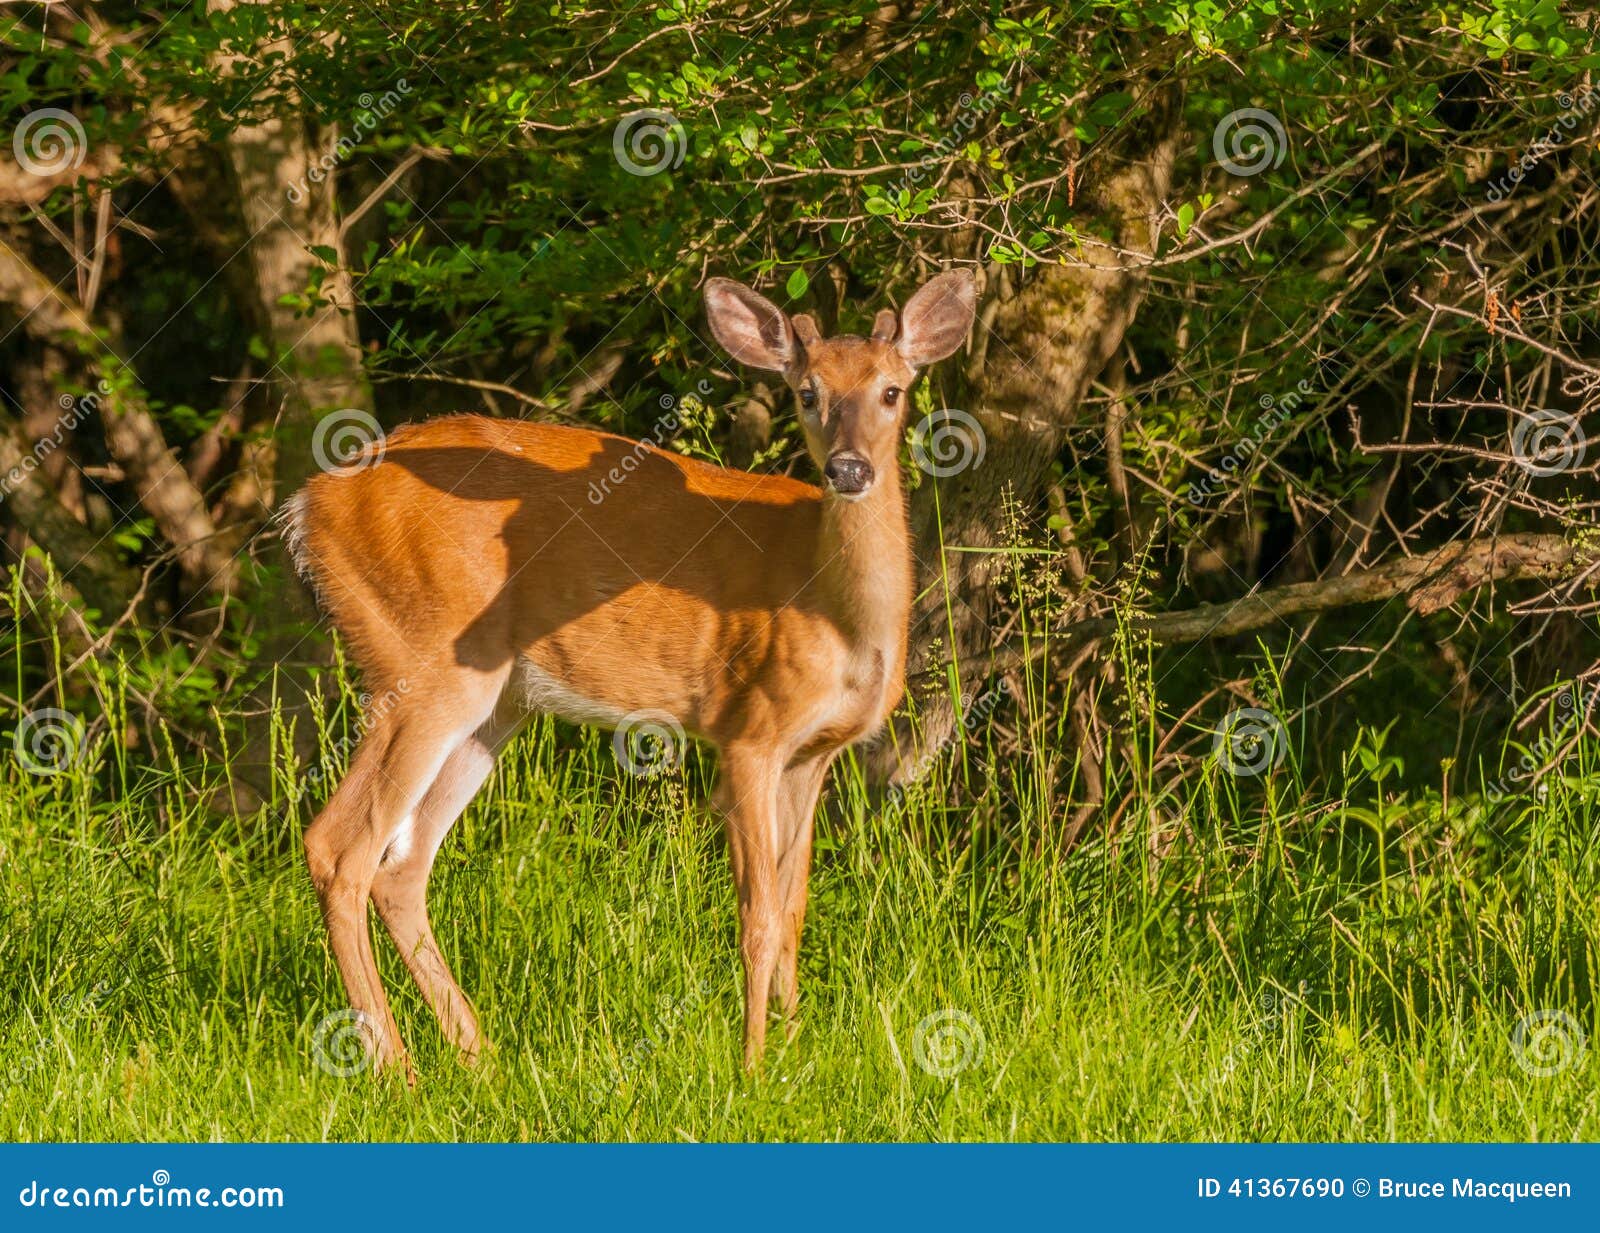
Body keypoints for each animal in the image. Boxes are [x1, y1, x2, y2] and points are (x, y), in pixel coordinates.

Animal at [283, 268, 977, 1074]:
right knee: (339, 847)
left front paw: (795, 1047)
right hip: (418, 658)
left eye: (892, 390)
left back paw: (482, 1057)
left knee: (402, 865)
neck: (841, 616)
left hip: (495, 701)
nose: (849, 468)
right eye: (807, 391)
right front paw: (753, 1066)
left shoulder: (814, 752)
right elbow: (758, 917)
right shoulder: (749, 729)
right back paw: (401, 1071)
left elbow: (795, 908)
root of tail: (307, 504)